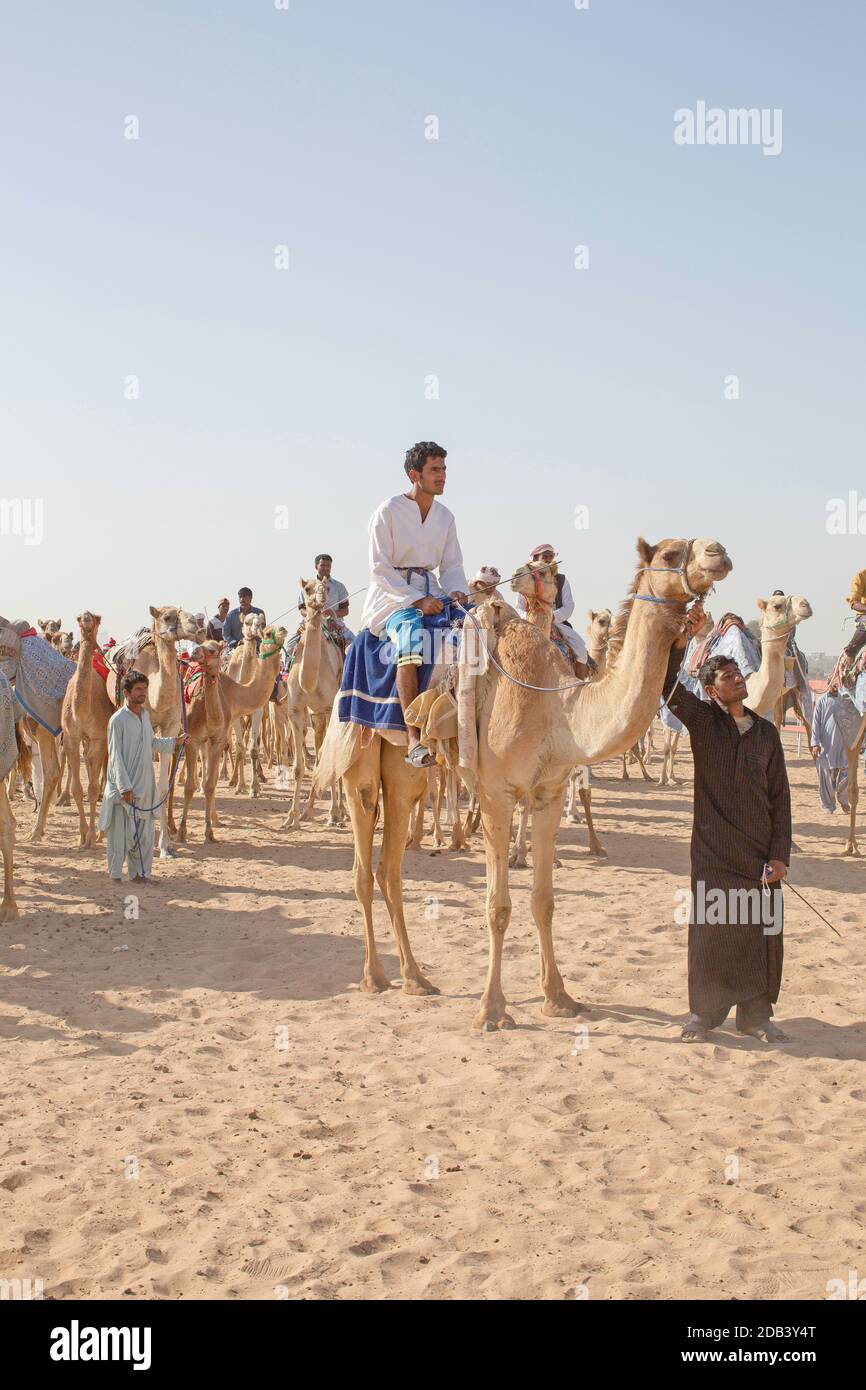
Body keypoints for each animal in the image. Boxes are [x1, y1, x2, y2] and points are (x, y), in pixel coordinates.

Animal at [281, 578, 345, 830]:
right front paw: (291, 817)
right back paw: (308, 810)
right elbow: (299, 767)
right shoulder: (295, 710)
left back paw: (340, 811)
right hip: (314, 714)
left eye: (326, 587)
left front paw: (334, 814)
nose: (321, 598)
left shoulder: (328, 708)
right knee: (318, 754)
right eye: (307, 589)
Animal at [333, 536, 731, 1022]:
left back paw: (415, 979)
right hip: (358, 761)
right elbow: (497, 907)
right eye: (671, 555)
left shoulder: (548, 792)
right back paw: (374, 977)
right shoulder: (495, 794)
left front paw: (558, 998)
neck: (557, 706)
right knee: (361, 866)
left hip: (405, 778)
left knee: (389, 869)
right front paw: (491, 1009)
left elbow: (544, 901)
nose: (718, 552)